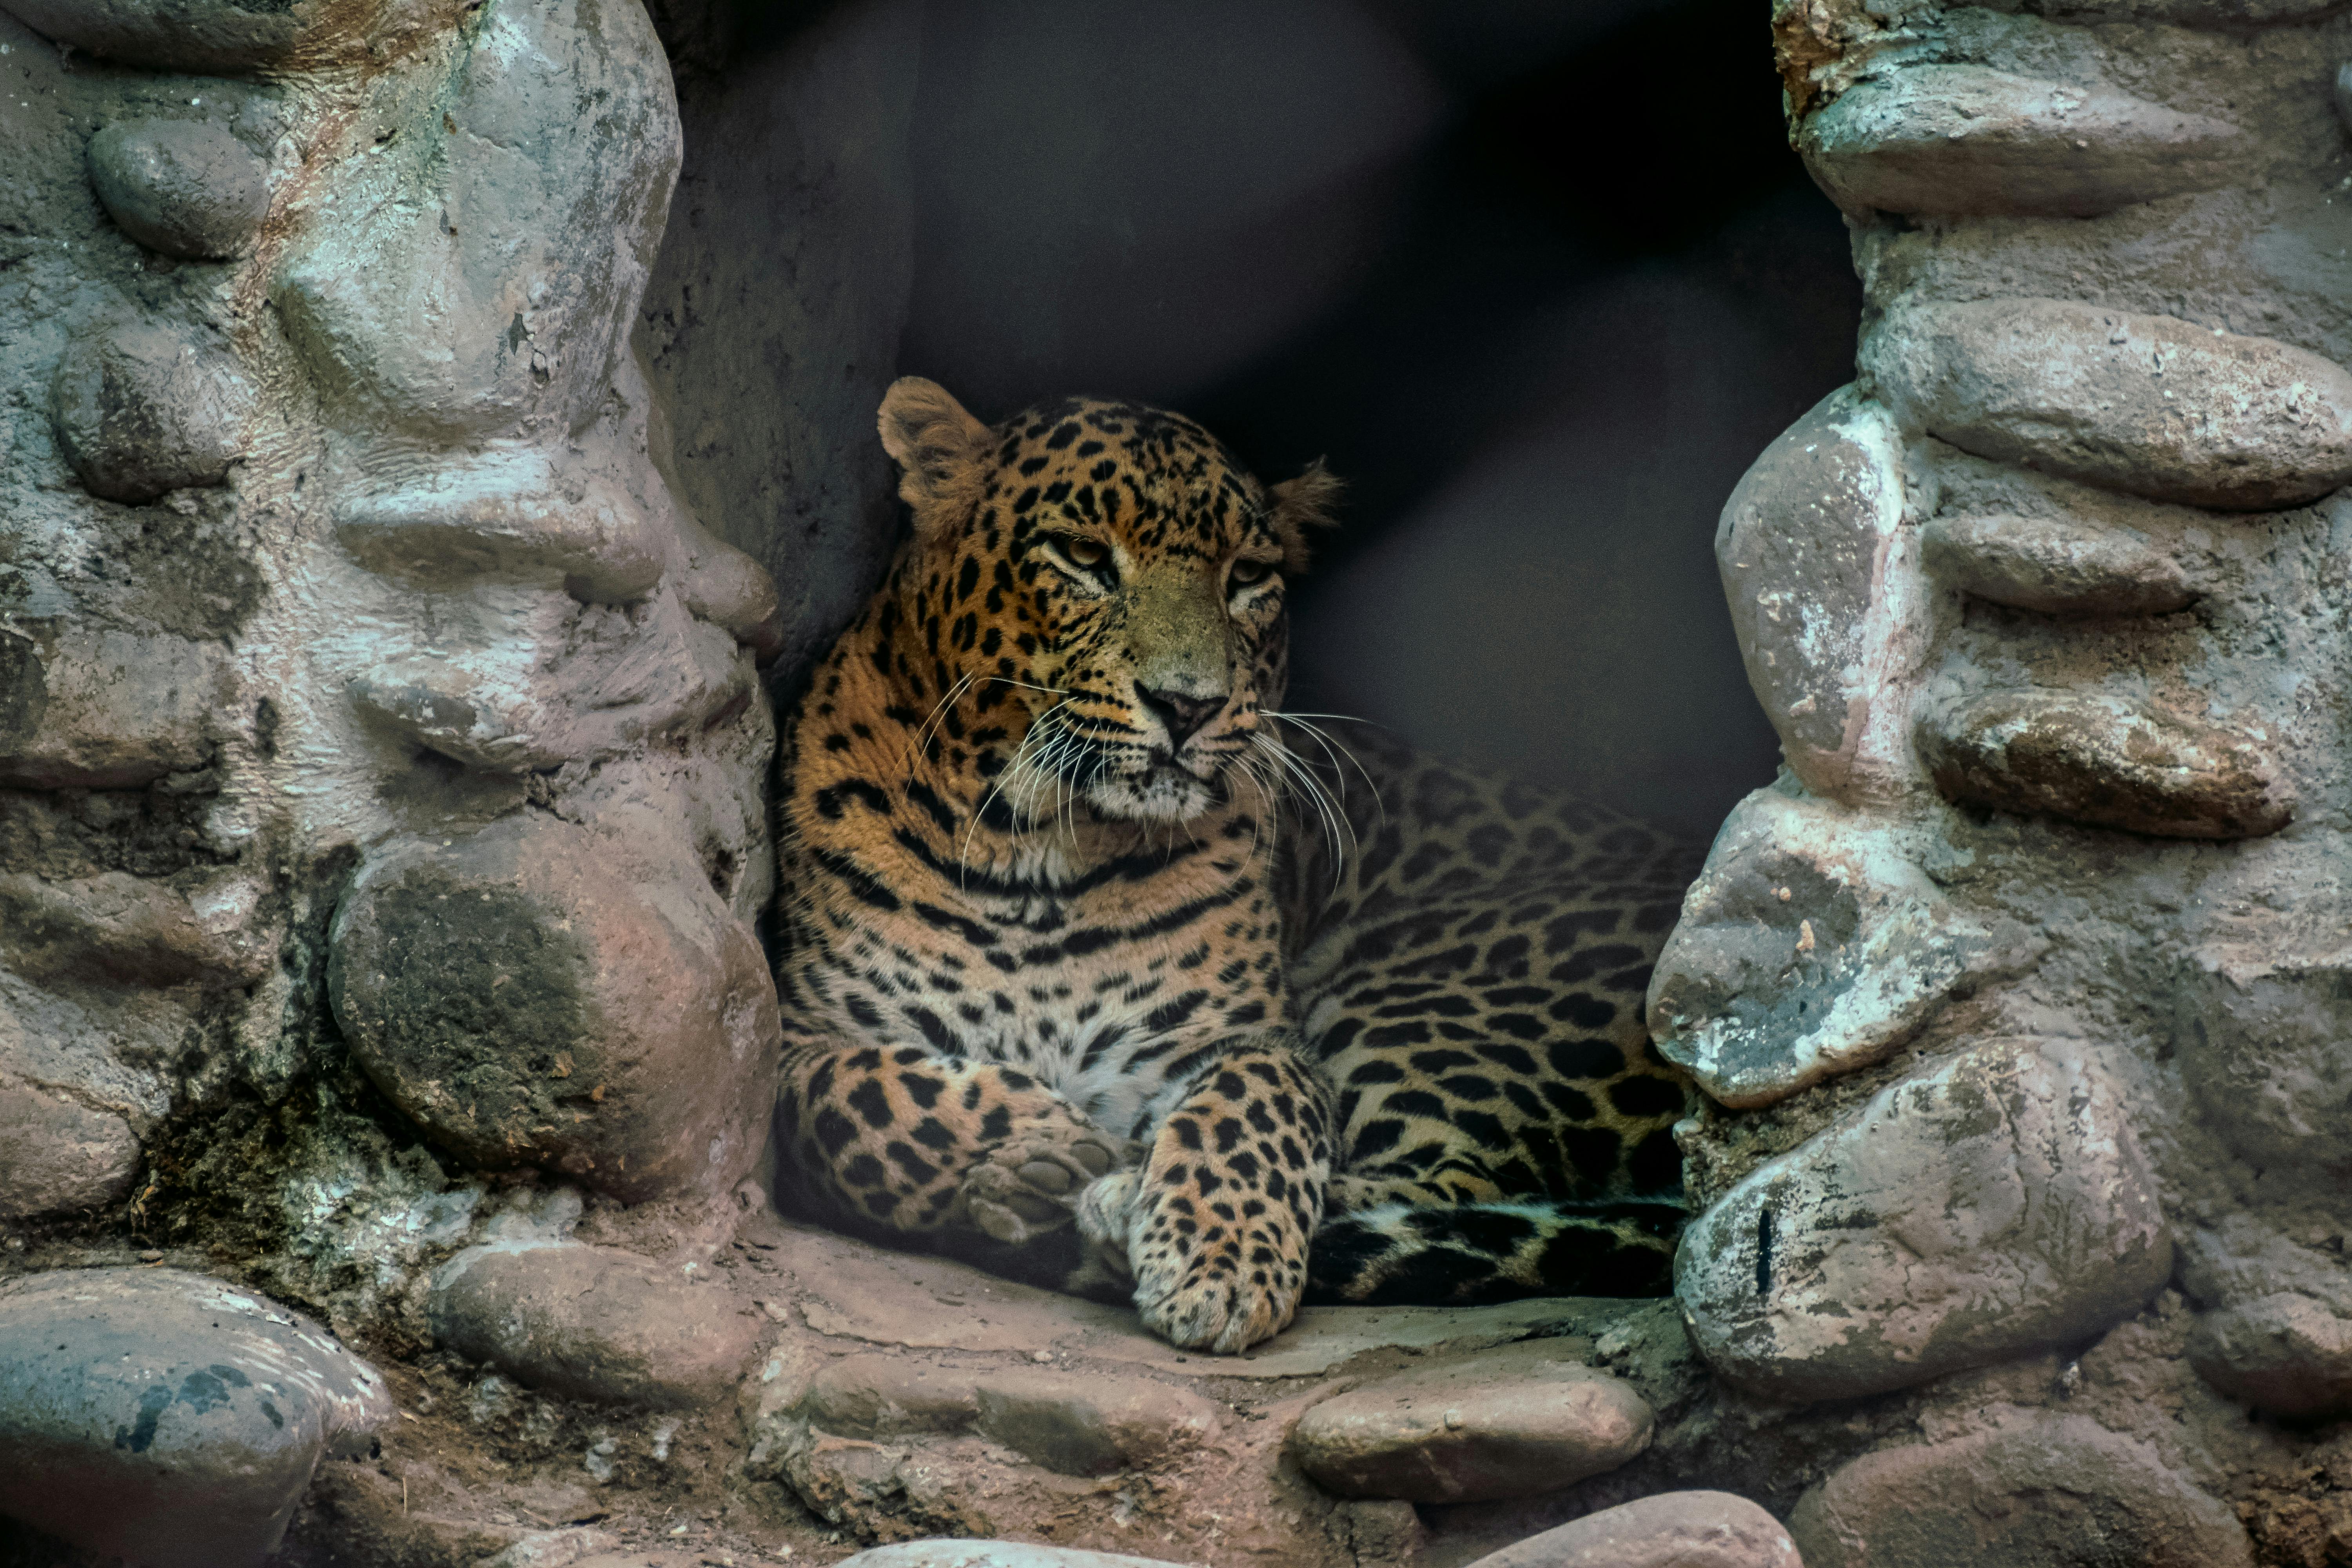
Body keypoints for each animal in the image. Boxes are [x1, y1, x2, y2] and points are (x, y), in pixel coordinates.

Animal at [770, 376, 1700, 1354]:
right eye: (1083, 555)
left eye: (1248, 577)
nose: (1189, 704)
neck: (1042, 853)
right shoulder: (803, 1033)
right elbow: (858, 1098)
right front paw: (1041, 1150)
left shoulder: (1243, 1037)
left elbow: (1255, 1105)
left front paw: (1217, 1260)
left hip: (1415, 987)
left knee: (1456, 1181)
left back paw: (1111, 1198)